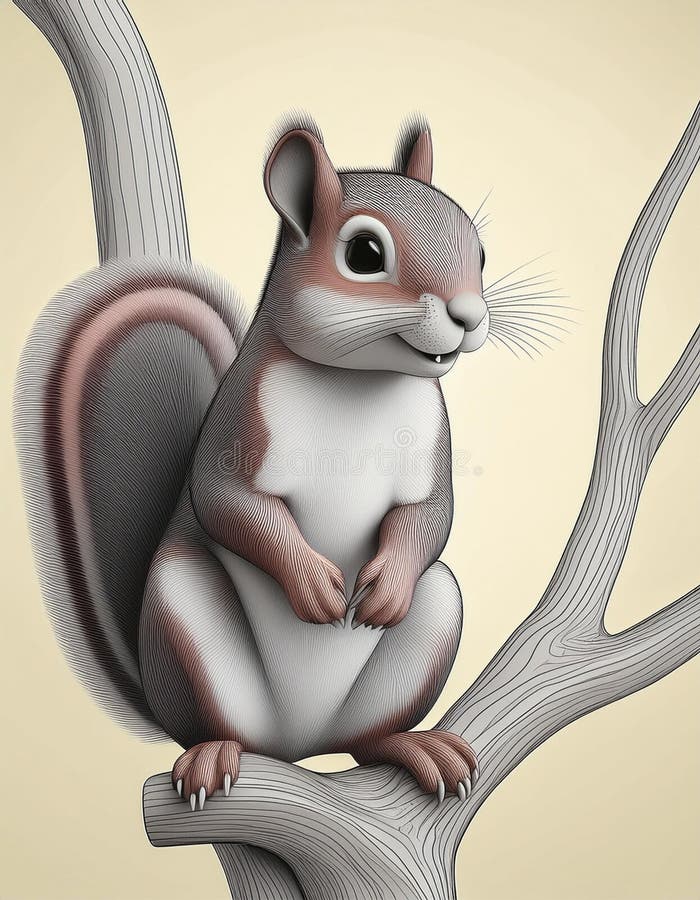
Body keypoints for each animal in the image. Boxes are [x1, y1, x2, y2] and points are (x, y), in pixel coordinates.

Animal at [15, 117, 489, 811]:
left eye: (479, 251)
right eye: (364, 254)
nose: (469, 316)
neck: (359, 383)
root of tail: (298, 745)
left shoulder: (434, 447)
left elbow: (430, 516)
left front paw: (384, 588)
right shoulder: (236, 431)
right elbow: (231, 505)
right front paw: (316, 587)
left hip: (431, 625)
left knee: (367, 737)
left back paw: (415, 746)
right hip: (187, 629)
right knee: (214, 726)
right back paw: (214, 755)